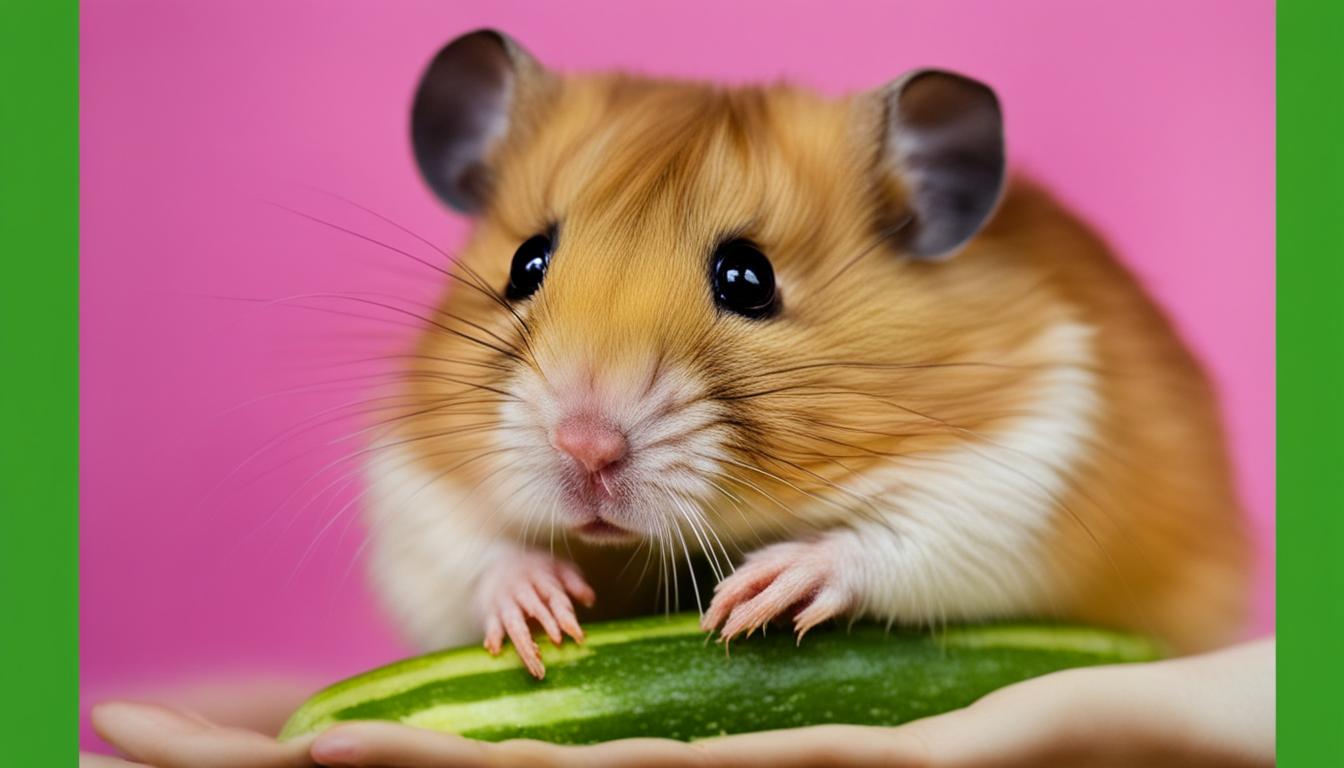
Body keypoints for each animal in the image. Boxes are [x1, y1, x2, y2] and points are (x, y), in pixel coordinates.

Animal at [362, 29, 1249, 678]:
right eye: (526, 263)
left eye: (749, 278)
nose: (584, 449)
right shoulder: (413, 486)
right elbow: (465, 545)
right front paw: (543, 609)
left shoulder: (1023, 463)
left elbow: (898, 539)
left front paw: (754, 597)